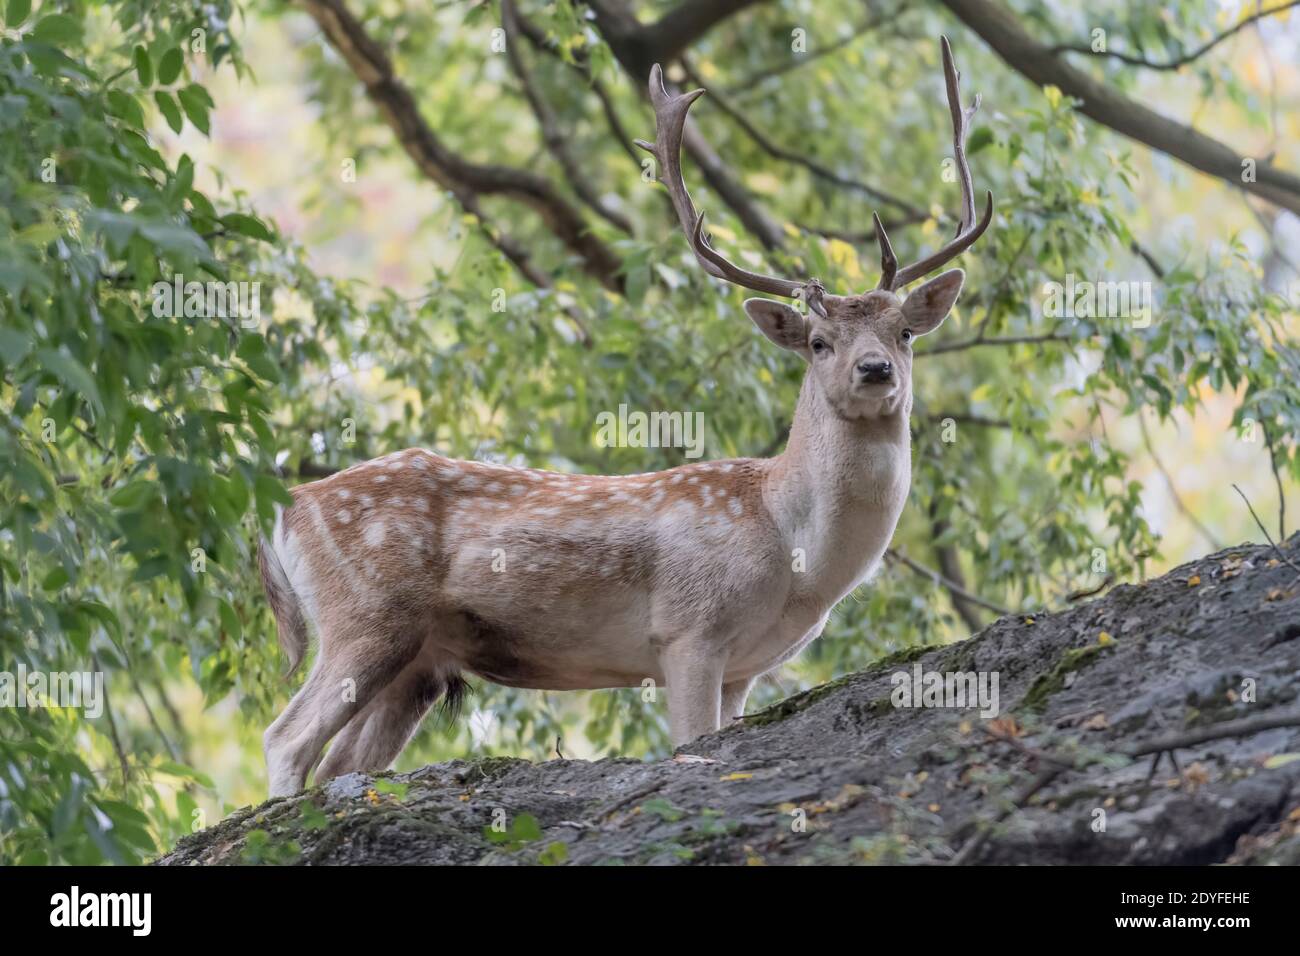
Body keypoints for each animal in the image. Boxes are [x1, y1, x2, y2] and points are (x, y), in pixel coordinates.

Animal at [258, 37, 993, 797]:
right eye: (819, 342)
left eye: (904, 332)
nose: (874, 371)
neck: (796, 554)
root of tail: (285, 507)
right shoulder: (688, 631)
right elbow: (688, 743)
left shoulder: (745, 667)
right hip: (365, 611)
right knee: (285, 737)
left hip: (421, 662)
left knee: (343, 764)